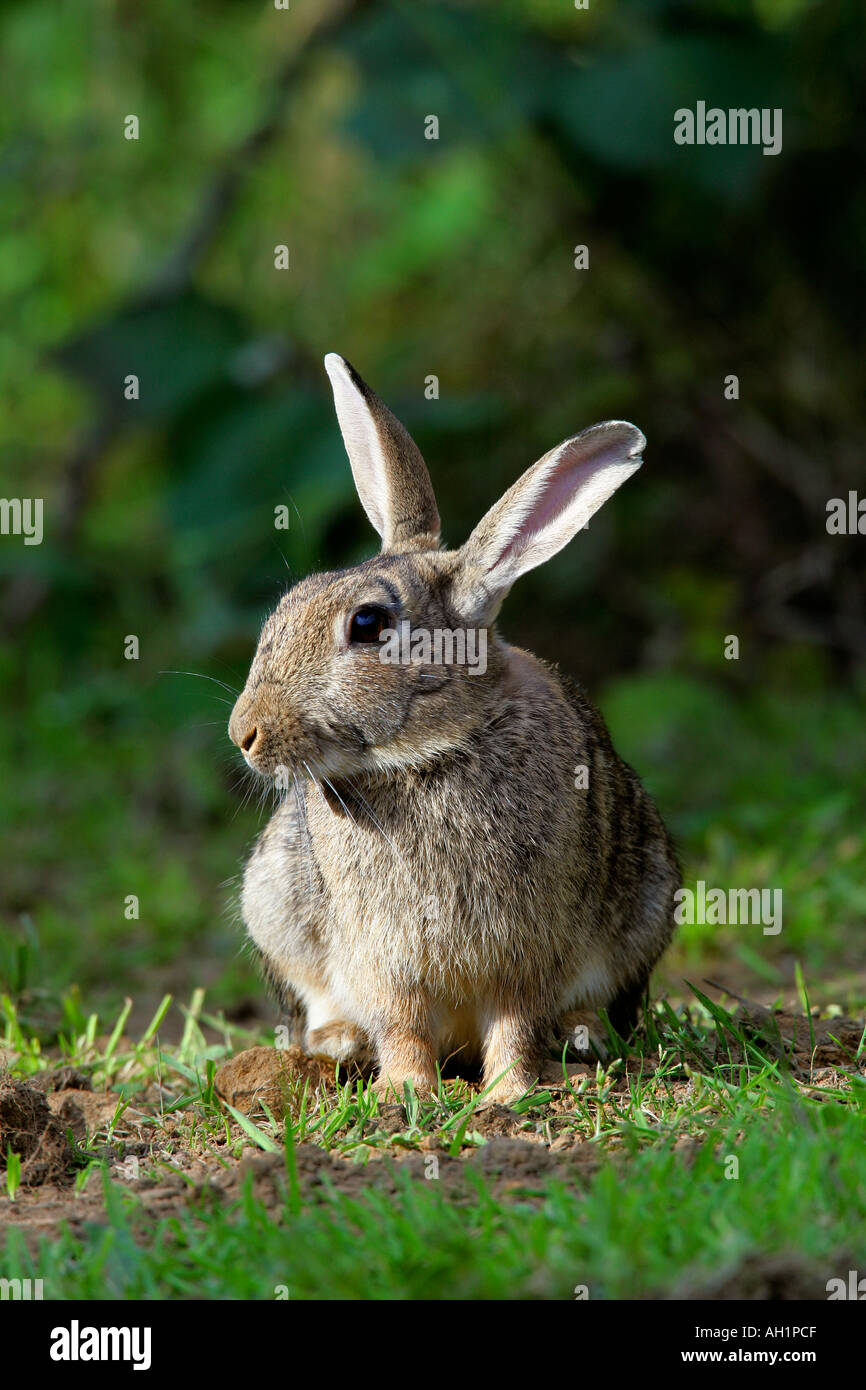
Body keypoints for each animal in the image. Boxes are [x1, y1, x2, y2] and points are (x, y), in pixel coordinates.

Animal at [228, 353, 680, 1104]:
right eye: (289, 604)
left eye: (368, 624)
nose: (244, 733)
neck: (429, 754)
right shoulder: (384, 958)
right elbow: (402, 1022)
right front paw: (407, 1092)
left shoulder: (527, 950)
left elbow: (517, 1021)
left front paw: (508, 1095)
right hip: (273, 901)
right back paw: (339, 1043)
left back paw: (582, 1034)